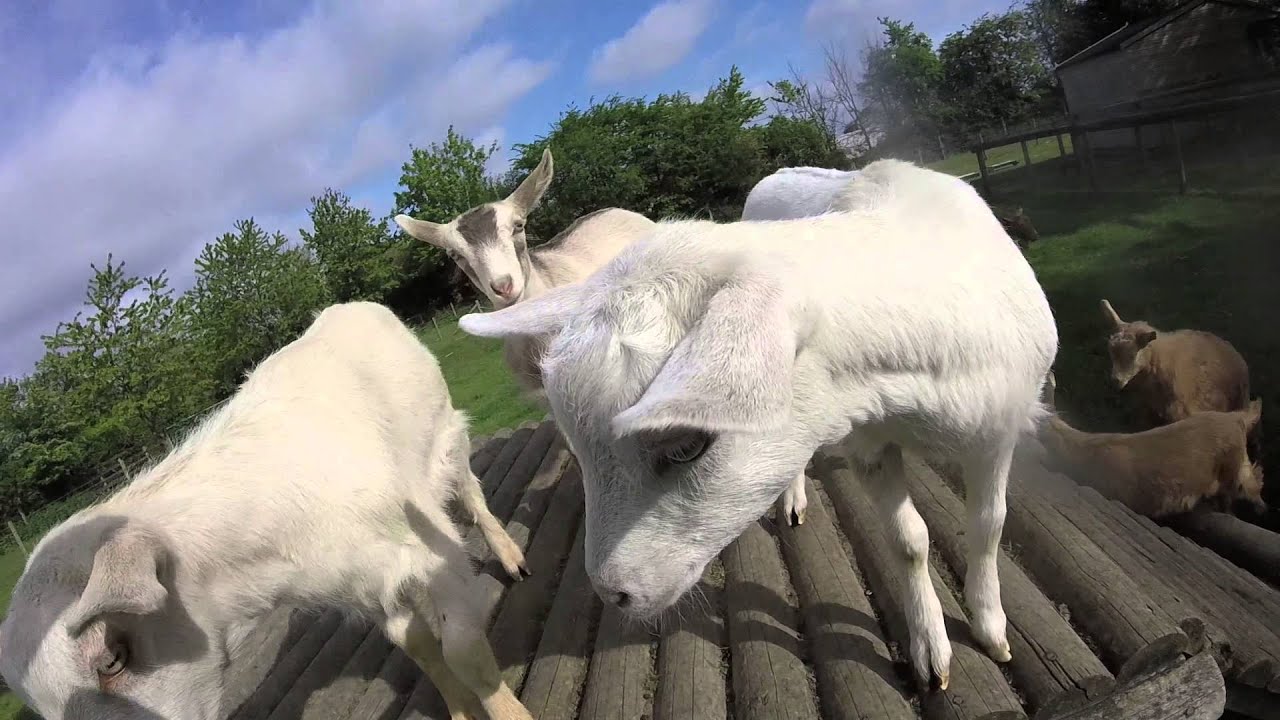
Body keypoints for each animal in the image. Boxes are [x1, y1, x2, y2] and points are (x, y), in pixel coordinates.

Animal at [0, 302, 532, 720]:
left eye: (113, 658)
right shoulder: (364, 585)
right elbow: (420, 648)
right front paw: (460, 710)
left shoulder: (427, 549)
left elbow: (462, 650)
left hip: (445, 435)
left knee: (471, 494)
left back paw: (511, 559)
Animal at [457, 159, 1059, 691]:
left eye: (687, 446)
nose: (614, 594)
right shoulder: (869, 441)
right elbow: (908, 540)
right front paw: (932, 649)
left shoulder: (996, 432)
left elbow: (988, 525)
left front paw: (990, 629)